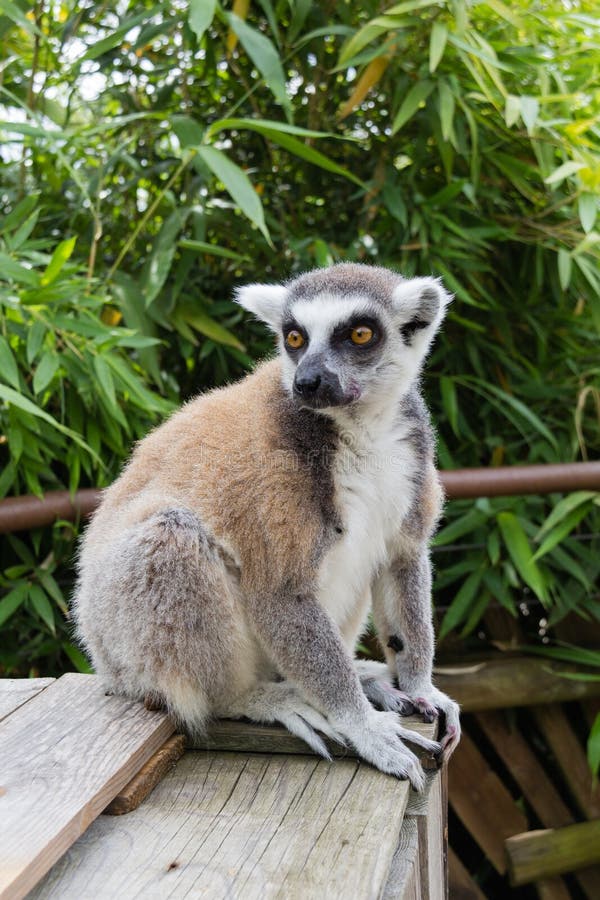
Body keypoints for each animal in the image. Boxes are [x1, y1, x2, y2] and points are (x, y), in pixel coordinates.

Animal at [73, 263, 460, 791]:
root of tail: (100, 655)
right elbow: (280, 592)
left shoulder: (411, 465)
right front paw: (364, 727)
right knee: (172, 539)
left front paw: (422, 687)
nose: (307, 382)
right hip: (122, 636)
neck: (362, 431)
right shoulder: (275, 479)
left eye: (360, 334)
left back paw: (361, 677)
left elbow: (403, 560)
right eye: (294, 338)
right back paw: (250, 698)